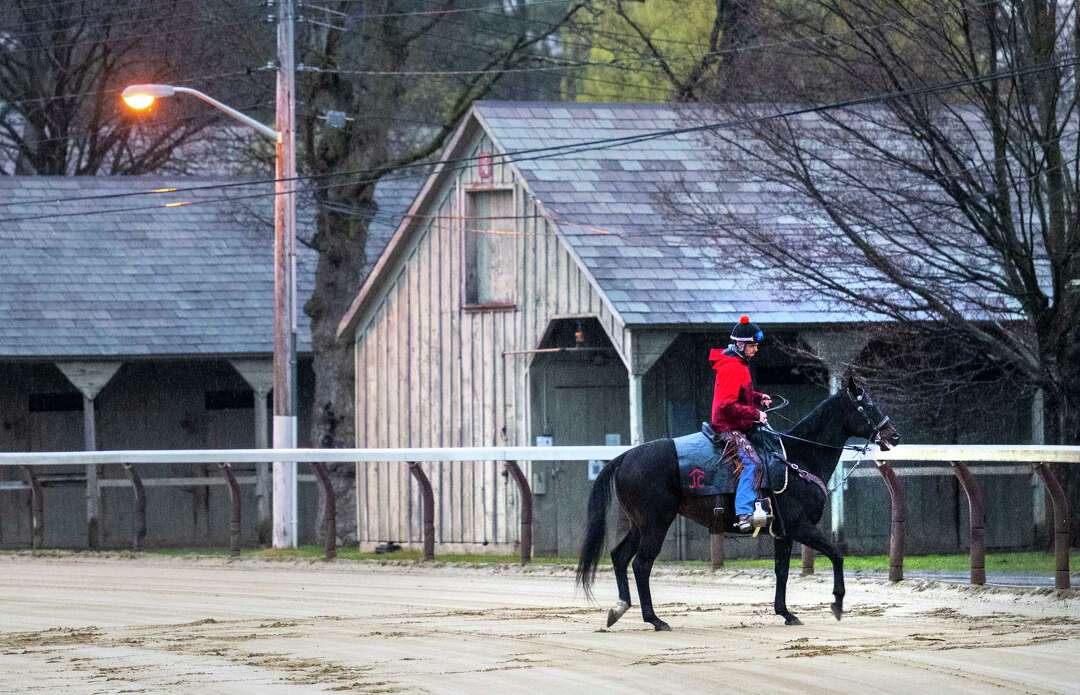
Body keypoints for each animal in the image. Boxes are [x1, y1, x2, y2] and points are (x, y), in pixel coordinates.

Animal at [576, 375, 901, 630]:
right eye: (867, 405)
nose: (894, 435)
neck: (797, 458)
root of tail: (625, 457)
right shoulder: (801, 527)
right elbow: (836, 554)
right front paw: (837, 604)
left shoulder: (783, 533)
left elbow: (782, 570)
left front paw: (786, 613)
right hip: (655, 524)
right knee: (641, 564)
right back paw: (654, 619)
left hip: (639, 525)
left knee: (620, 557)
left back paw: (619, 609)